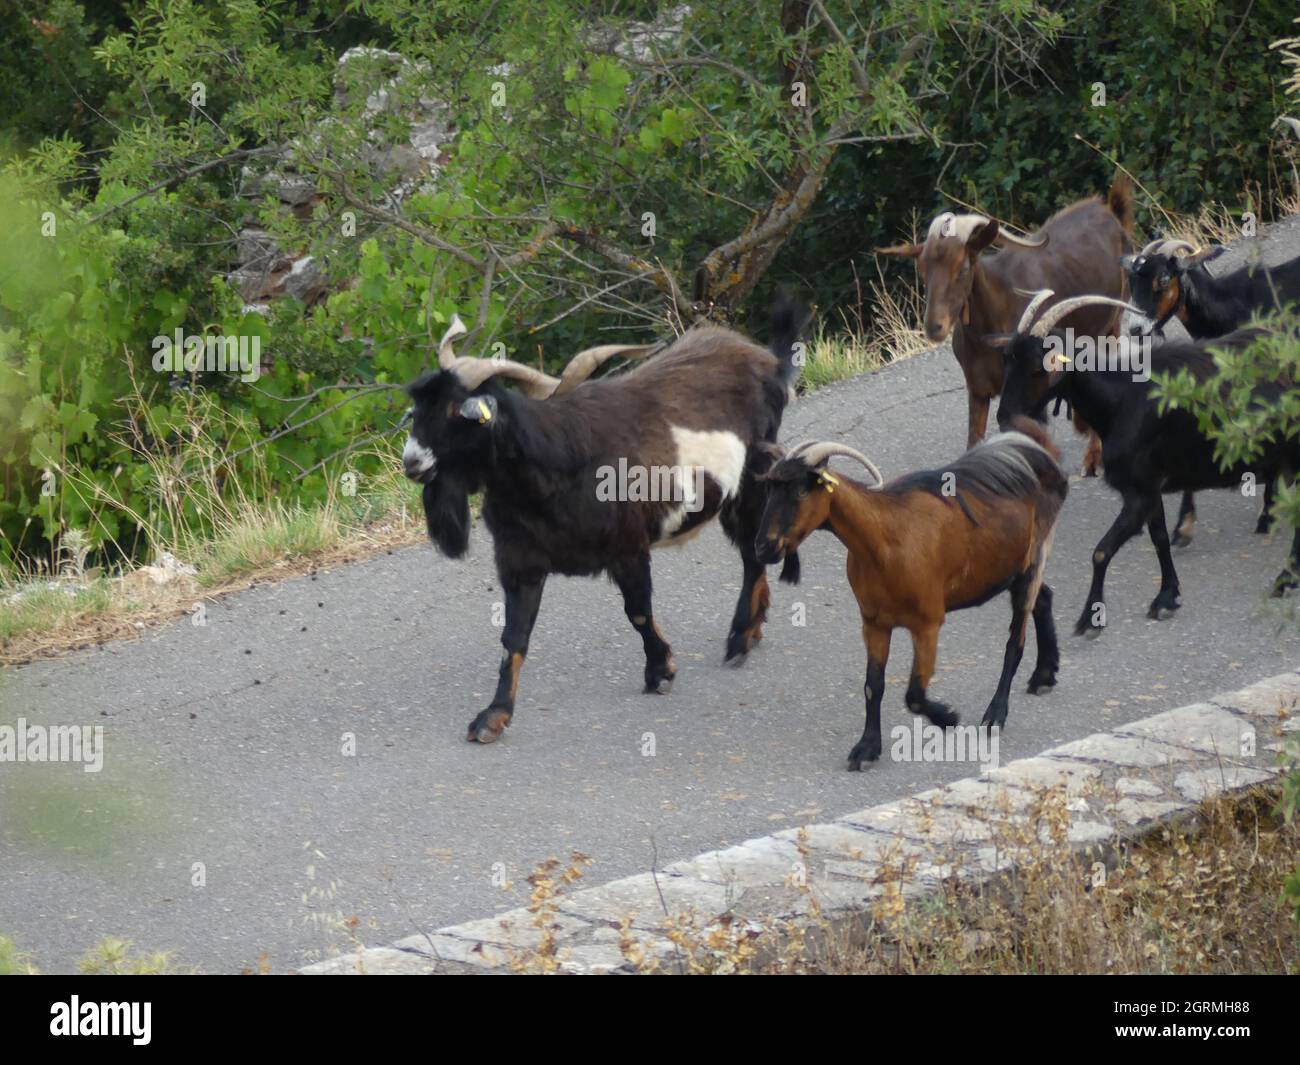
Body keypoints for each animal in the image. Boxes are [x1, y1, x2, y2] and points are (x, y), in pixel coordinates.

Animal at [402, 302, 802, 745]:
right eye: (418, 409)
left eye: (457, 410)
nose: (412, 462)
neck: (552, 466)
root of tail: (763, 359)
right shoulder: (520, 562)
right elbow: (514, 636)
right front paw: (493, 716)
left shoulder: (628, 547)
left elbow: (638, 611)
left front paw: (660, 671)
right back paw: (753, 629)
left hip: (749, 478)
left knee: (752, 552)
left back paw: (740, 638)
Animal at [754, 423, 1067, 770]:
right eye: (769, 490)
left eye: (800, 491)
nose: (764, 548)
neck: (885, 541)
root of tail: (1039, 454)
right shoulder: (874, 623)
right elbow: (873, 686)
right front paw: (867, 747)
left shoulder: (928, 623)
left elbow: (915, 694)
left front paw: (948, 716)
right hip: (1013, 568)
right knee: (1044, 598)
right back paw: (1044, 675)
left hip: (1036, 554)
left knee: (1016, 640)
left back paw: (996, 714)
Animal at [878, 176, 1134, 474]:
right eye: (923, 270)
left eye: (963, 268)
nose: (934, 327)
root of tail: (1110, 212)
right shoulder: (977, 390)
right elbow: (974, 441)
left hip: (1111, 325)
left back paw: (1092, 458)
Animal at [994, 292, 1300, 635]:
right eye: (1007, 358)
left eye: (1039, 366)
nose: (1005, 417)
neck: (1122, 399)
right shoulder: (1150, 487)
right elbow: (1159, 538)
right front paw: (1167, 596)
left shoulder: (1138, 492)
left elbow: (1102, 551)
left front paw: (1090, 618)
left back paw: (1284, 580)